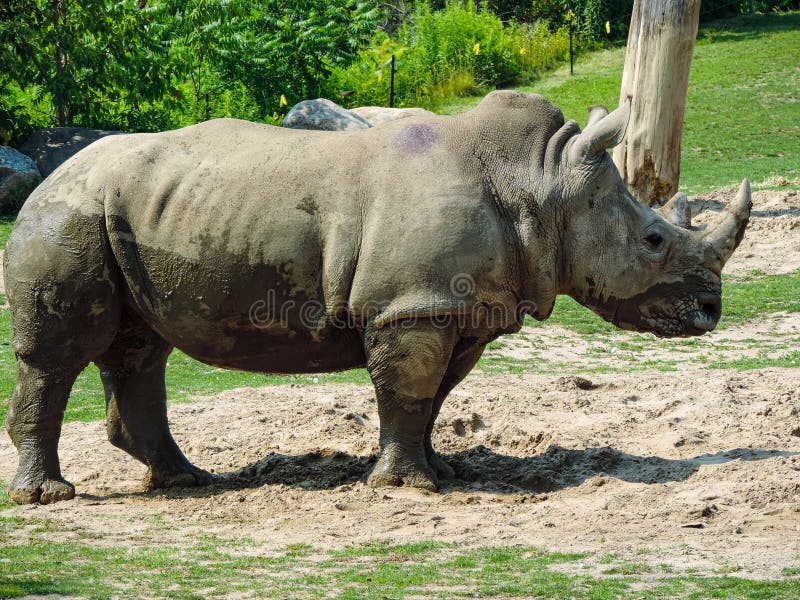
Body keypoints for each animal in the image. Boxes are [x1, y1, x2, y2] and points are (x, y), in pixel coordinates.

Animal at [3, 91, 751, 504]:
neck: (542, 184)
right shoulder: (411, 306)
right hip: (67, 214)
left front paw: (440, 470)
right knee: (60, 354)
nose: (710, 311)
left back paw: (187, 481)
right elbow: (408, 390)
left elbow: (432, 396)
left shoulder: (455, 307)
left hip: (119, 212)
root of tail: (54, 173)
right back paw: (50, 497)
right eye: (653, 240)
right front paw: (406, 488)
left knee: (139, 346)